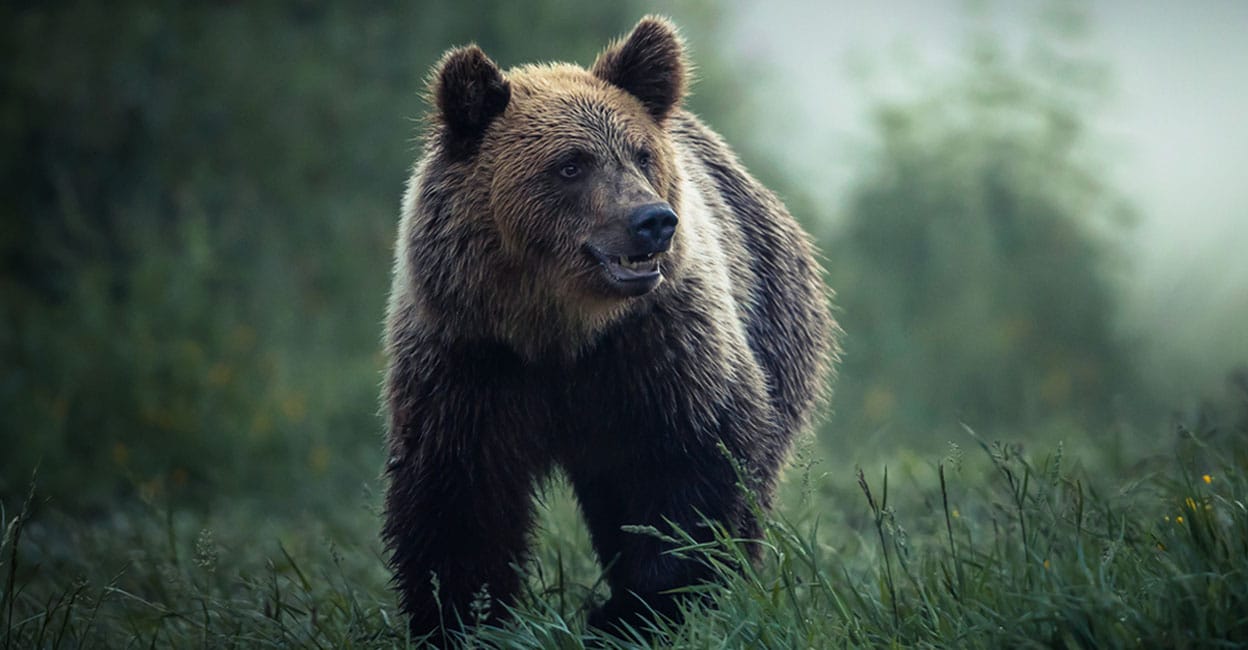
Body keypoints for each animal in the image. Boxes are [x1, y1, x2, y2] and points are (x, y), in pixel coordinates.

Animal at [382, 16, 837, 639]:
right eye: (571, 164)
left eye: (641, 155)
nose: (653, 221)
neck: (558, 331)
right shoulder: (468, 356)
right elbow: (457, 494)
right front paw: (460, 616)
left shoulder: (658, 351)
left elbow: (689, 471)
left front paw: (646, 608)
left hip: (777, 326)